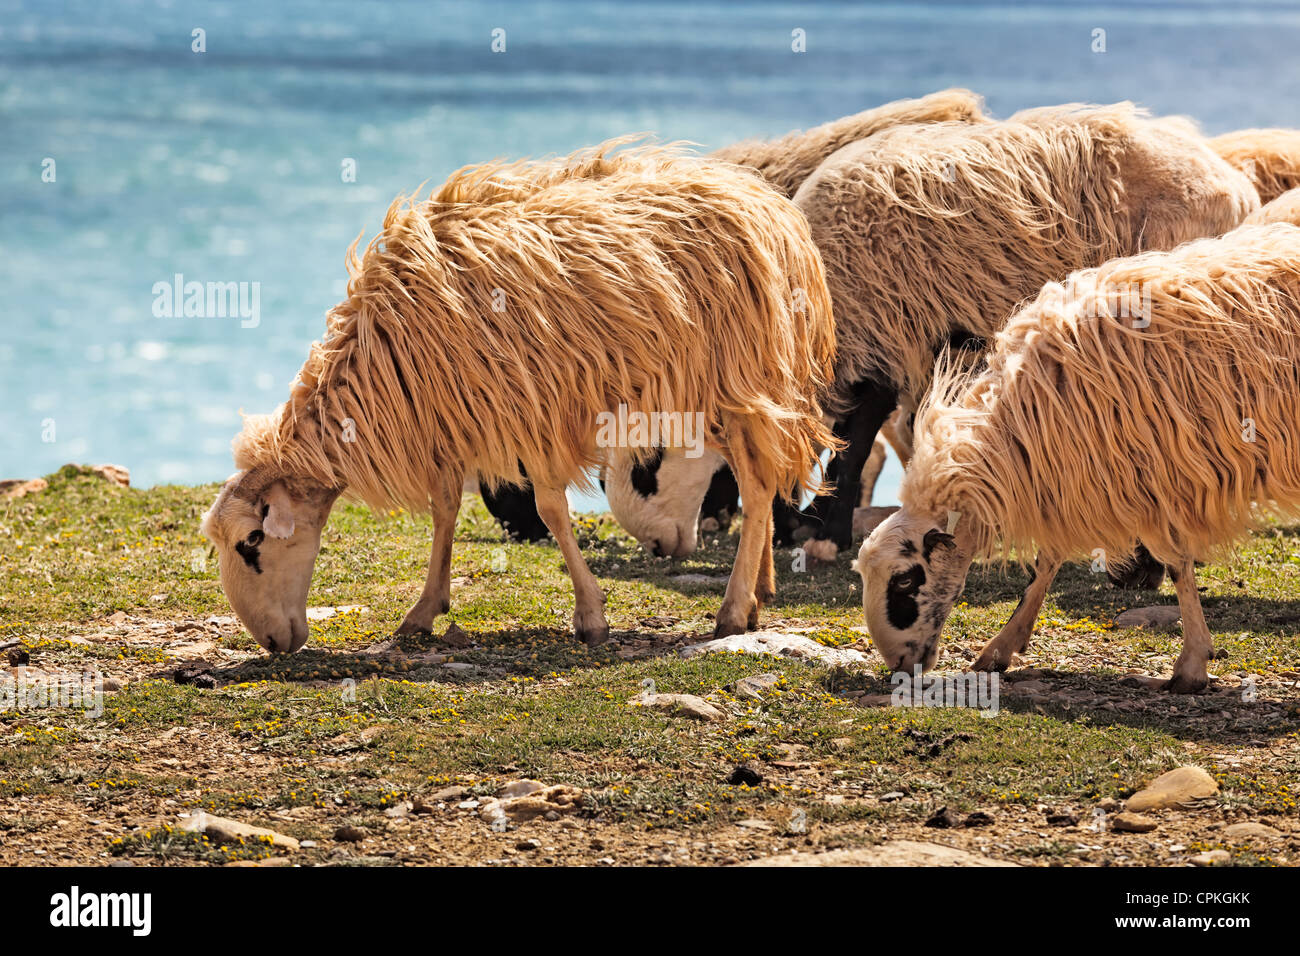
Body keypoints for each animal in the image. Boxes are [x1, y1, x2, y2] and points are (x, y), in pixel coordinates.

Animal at [200, 142, 838, 651]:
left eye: (252, 542)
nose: (272, 644)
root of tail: (770, 208)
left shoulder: (528, 411)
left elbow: (550, 510)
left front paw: (590, 616)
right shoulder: (452, 417)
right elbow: (444, 511)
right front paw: (424, 611)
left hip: (736, 380)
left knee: (756, 487)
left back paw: (732, 611)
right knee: (761, 478)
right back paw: (758, 597)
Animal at [853, 222, 1300, 693]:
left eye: (904, 581)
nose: (899, 666)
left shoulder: (1151, 477)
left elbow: (1177, 565)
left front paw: (1191, 666)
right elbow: (1046, 563)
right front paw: (1002, 647)